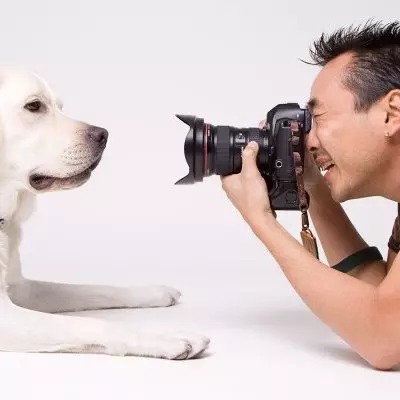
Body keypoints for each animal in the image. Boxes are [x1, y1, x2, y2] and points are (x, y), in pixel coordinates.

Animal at [0, 68, 209, 360]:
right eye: (34, 106)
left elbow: (90, 290)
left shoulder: (20, 287)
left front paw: (150, 291)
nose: (103, 135)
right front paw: (169, 336)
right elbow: (92, 323)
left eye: (61, 107)